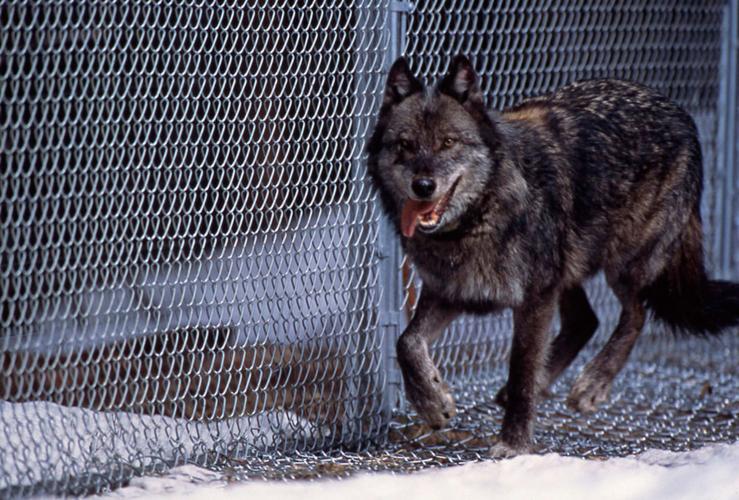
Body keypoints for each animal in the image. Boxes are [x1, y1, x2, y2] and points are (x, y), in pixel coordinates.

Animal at [366, 55, 739, 456]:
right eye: (404, 144)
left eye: (448, 142)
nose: (423, 186)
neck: (479, 216)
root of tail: (680, 113)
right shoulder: (451, 292)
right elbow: (406, 343)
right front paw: (433, 403)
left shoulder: (534, 299)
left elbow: (521, 368)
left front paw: (513, 444)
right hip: (567, 268)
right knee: (586, 320)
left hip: (622, 264)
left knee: (635, 314)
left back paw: (593, 383)